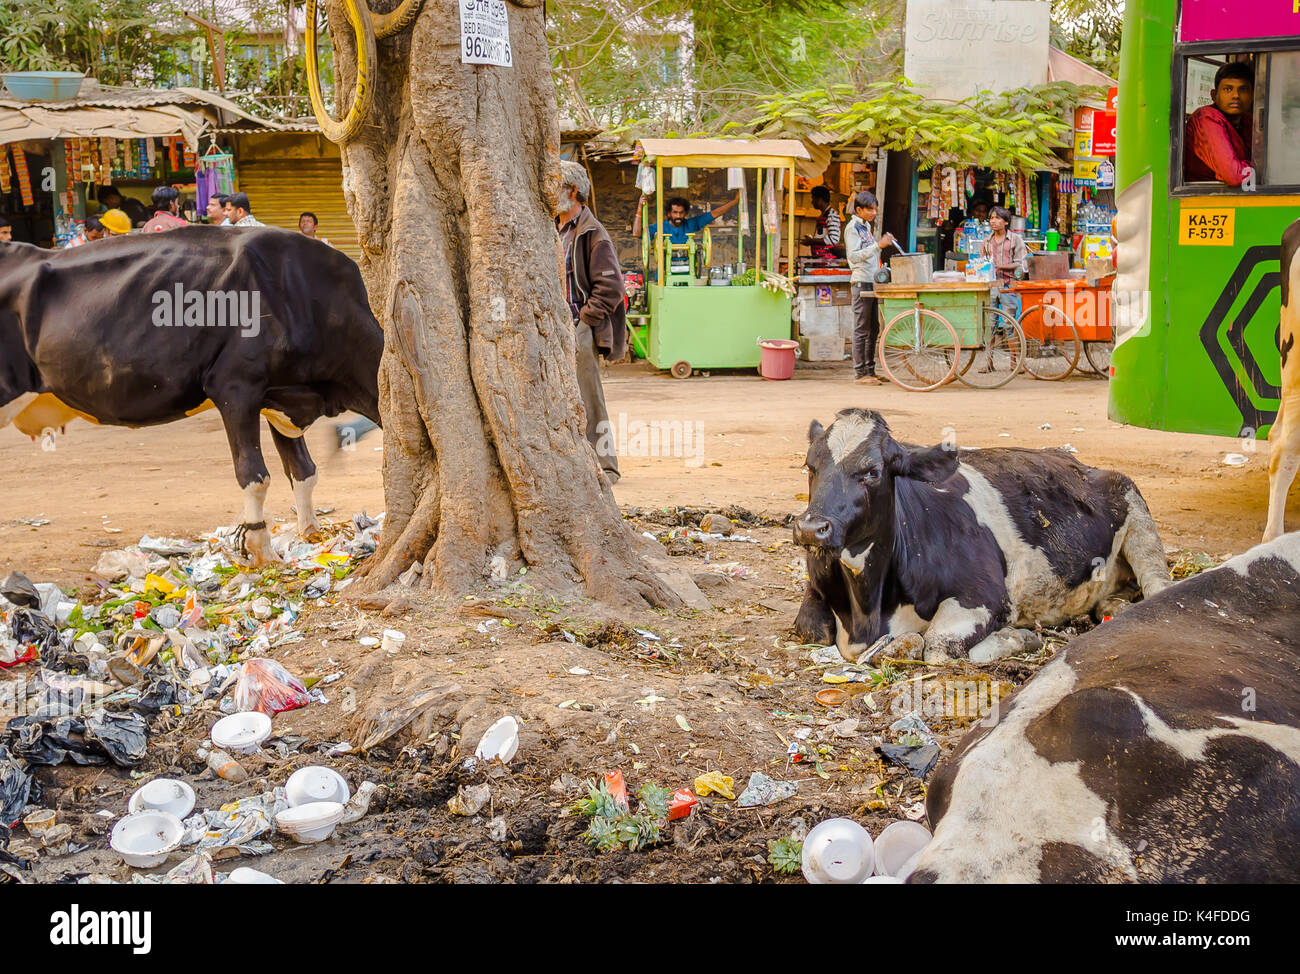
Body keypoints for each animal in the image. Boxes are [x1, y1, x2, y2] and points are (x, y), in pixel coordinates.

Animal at [0, 227, 382, 565]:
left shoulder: (285, 399)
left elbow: (304, 470)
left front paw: (311, 534)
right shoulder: (235, 387)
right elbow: (255, 476)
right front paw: (261, 551)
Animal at [793, 409, 1172, 664]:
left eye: (872, 472)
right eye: (810, 467)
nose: (811, 528)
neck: (868, 609)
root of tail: (1080, 464)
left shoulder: (985, 596)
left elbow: (938, 646)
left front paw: (1018, 637)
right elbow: (810, 628)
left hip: (1135, 507)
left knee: (1158, 587)